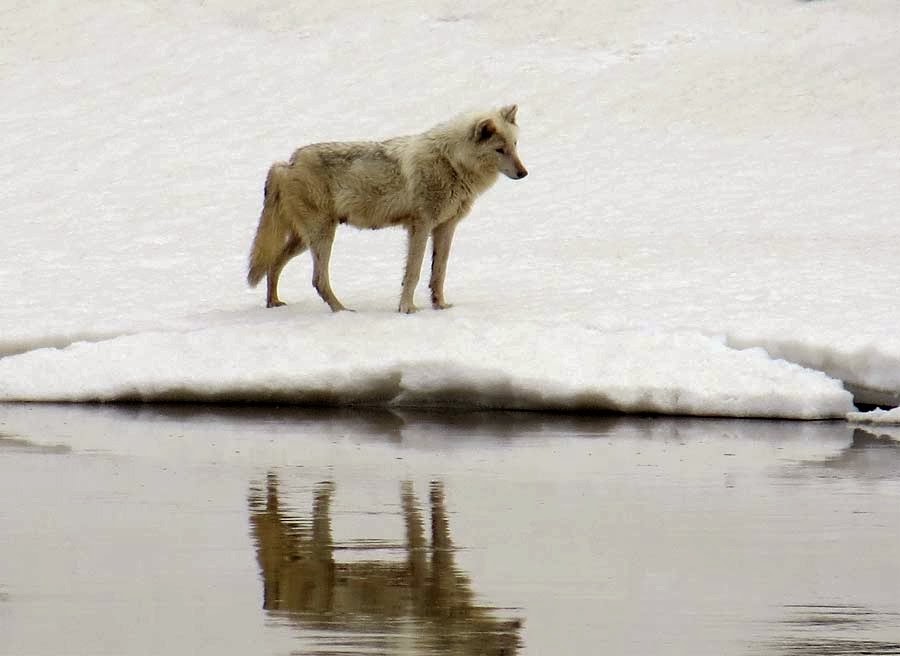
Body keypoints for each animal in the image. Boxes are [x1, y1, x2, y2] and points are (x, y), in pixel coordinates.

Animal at [247, 105, 527, 313]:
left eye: (515, 145)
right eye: (499, 149)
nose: (524, 173)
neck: (452, 163)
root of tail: (286, 164)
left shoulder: (446, 227)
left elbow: (439, 273)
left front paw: (440, 306)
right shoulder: (420, 226)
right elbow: (413, 273)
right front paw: (407, 308)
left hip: (305, 240)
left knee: (274, 264)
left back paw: (274, 303)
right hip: (322, 236)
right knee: (317, 280)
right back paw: (342, 311)